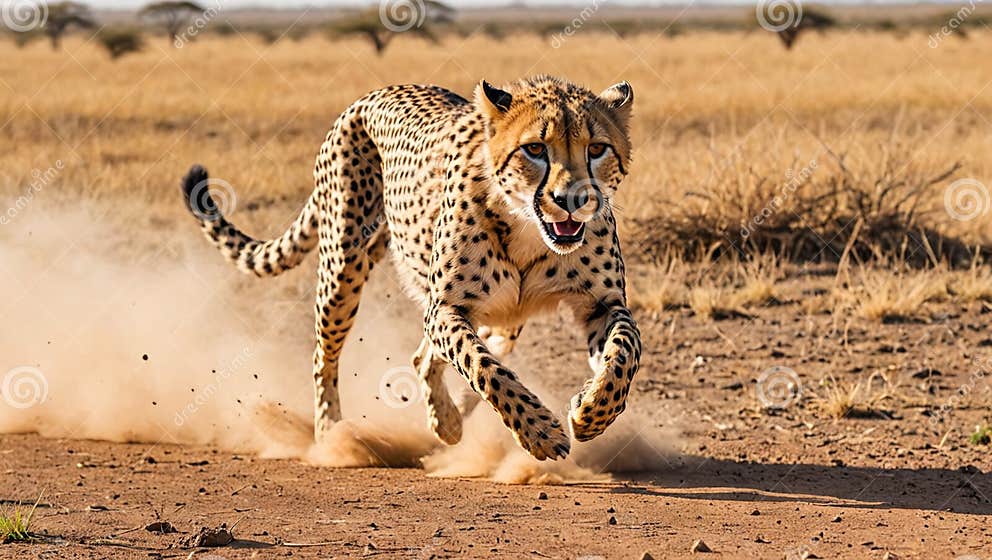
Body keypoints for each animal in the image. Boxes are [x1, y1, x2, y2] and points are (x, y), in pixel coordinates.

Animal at [180, 75, 641, 461]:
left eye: (596, 149)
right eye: (535, 149)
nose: (572, 199)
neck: (527, 229)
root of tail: (373, 94)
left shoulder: (602, 304)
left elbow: (624, 354)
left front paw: (591, 410)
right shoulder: (446, 307)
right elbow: (483, 368)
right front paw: (538, 431)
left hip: (501, 317)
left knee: (430, 356)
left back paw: (450, 421)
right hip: (343, 267)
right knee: (326, 355)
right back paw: (332, 436)